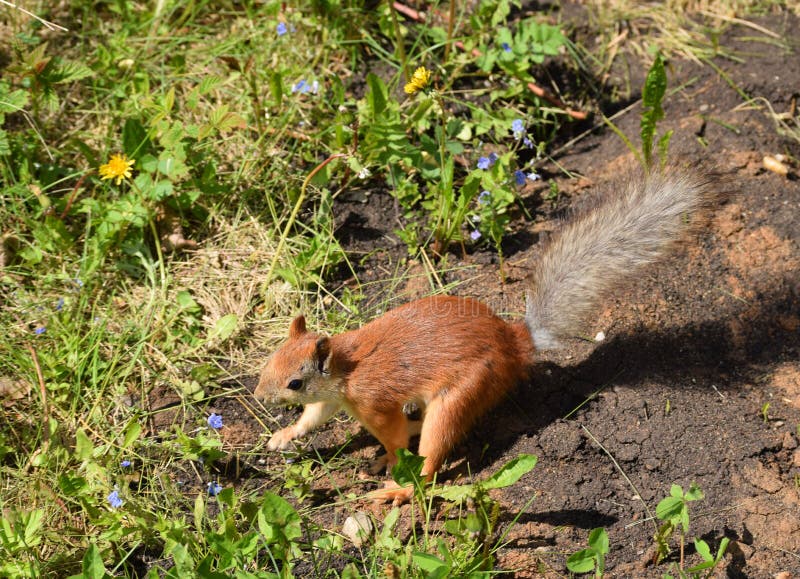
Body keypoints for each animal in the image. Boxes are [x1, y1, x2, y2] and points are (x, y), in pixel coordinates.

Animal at [254, 167, 722, 504]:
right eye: (269, 362)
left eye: (294, 382)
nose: (260, 397)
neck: (345, 369)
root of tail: (513, 344)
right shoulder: (331, 401)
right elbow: (312, 419)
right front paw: (284, 435)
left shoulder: (373, 403)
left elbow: (392, 437)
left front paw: (387, 459)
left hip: (464, 390)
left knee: (431, 455)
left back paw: (402, 489)